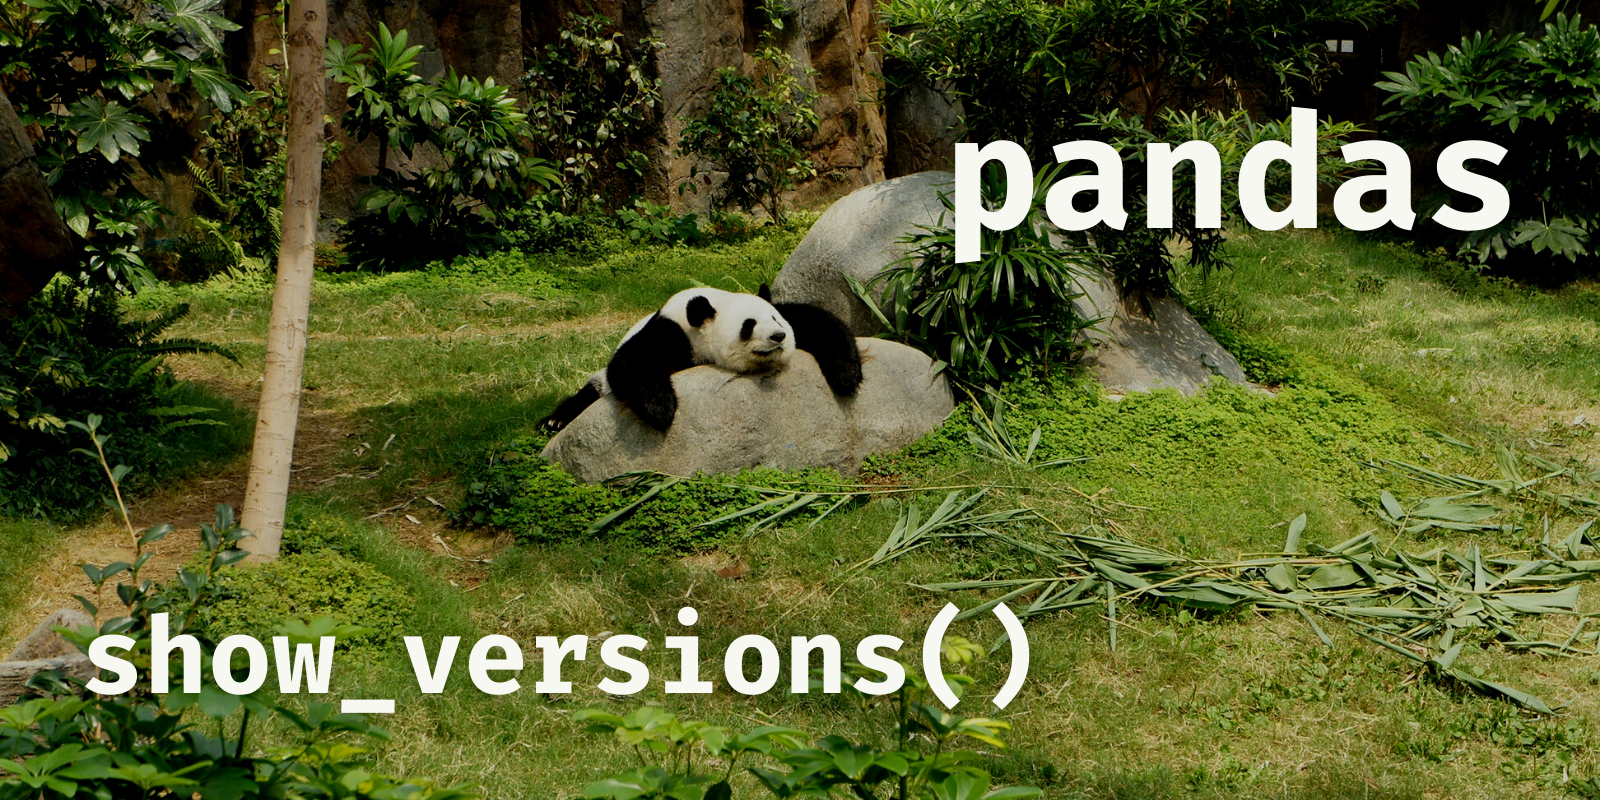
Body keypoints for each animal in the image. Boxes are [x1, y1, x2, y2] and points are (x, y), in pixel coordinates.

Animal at [541, 285, 862, 433]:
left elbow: (820, 321)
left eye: (776, 319)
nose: (778, 336)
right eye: (748, 325)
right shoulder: (672, 331)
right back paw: (554, 421)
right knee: (592, 390)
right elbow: (630, 362)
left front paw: (846, 376)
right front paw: (661, 409)